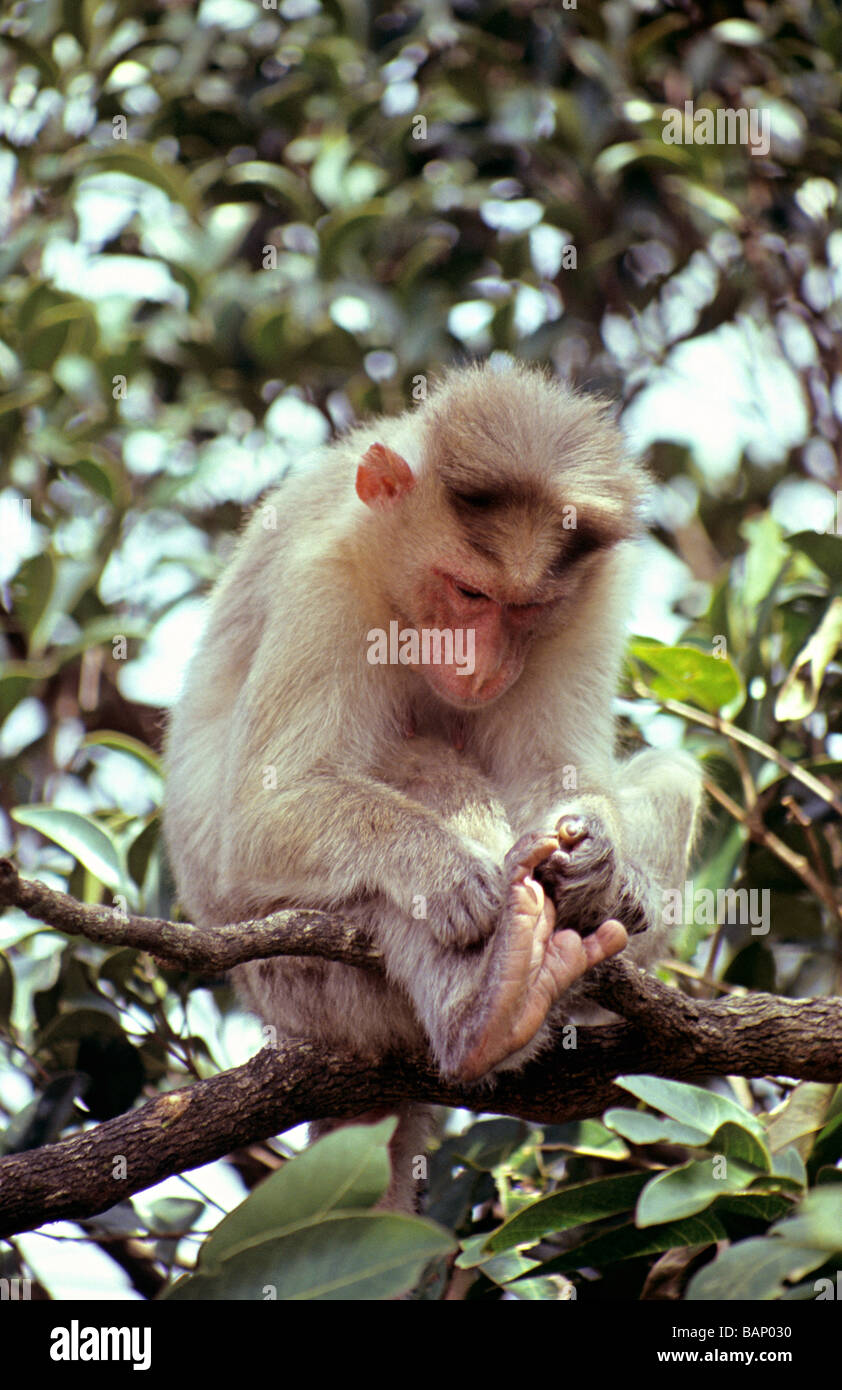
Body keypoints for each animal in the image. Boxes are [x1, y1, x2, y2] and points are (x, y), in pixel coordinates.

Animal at [163, 361, 702, 1210]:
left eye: (527, 608)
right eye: (470, 592)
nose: (479, 667)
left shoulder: (589, 606)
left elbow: (557, 771)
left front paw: (599, 863)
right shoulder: (326, 584)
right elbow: (258, 817)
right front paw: (441, 871)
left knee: (674, 775)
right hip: (306, 984)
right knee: (413, 765)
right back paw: (482, 1007)